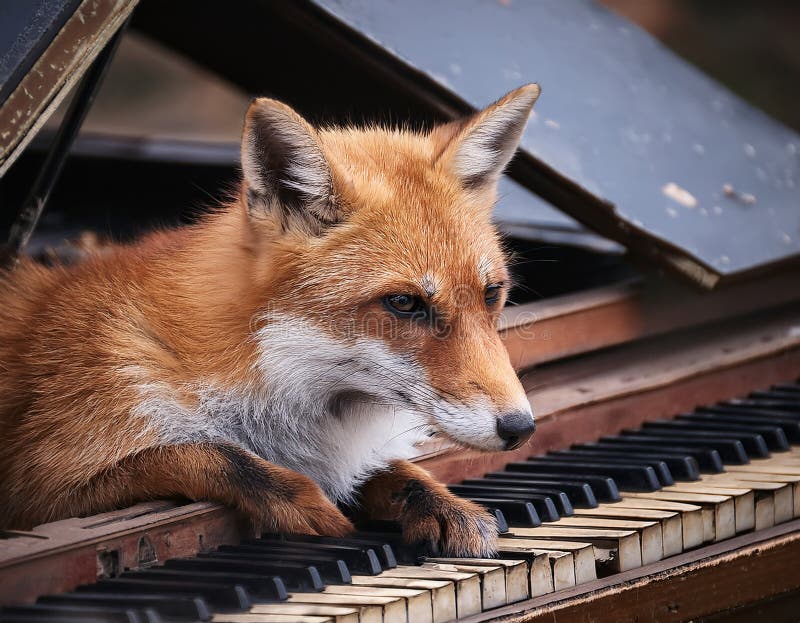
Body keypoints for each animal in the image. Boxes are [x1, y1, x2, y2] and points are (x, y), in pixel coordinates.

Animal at [0, 84, 539, 556]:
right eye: (404, 303)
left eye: (492, 294)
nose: (521, 428)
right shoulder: (42, 487)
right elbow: (206, 454)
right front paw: (305, 504)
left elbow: (399, 473)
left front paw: (444, 505)